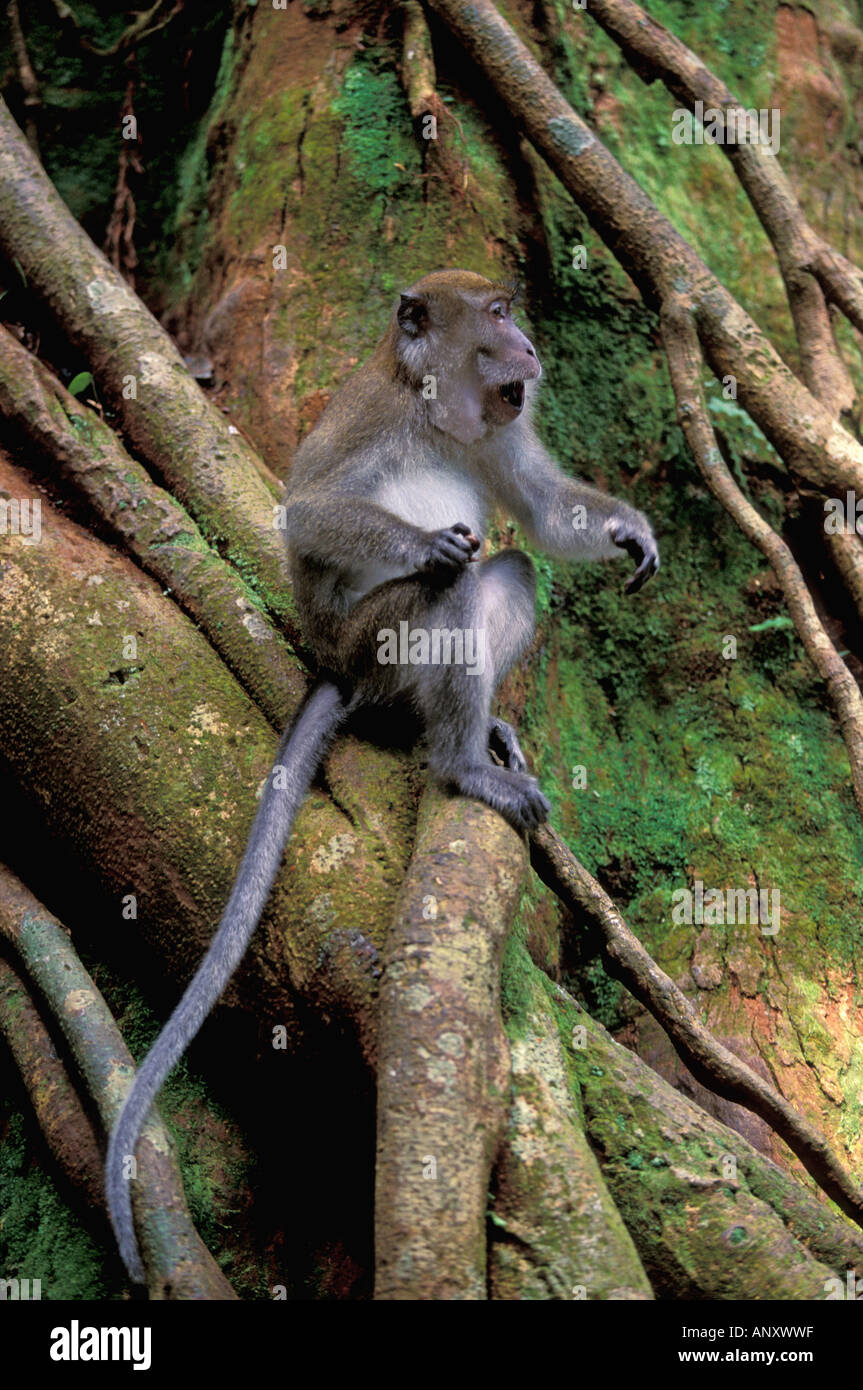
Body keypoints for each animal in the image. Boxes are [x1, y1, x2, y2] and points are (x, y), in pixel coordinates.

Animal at [106, 269, 658, 1283]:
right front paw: (422, 544)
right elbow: (309, 512)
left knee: (508, 571)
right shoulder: (371, 418)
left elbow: (542, 514)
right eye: (496, 315)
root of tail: (340, 671)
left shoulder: (496, 428)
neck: (434, 410)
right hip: (371, 644)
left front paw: (627, 529)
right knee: (451, 590)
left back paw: (472, 735)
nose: (528, 350)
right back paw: (459, 764)